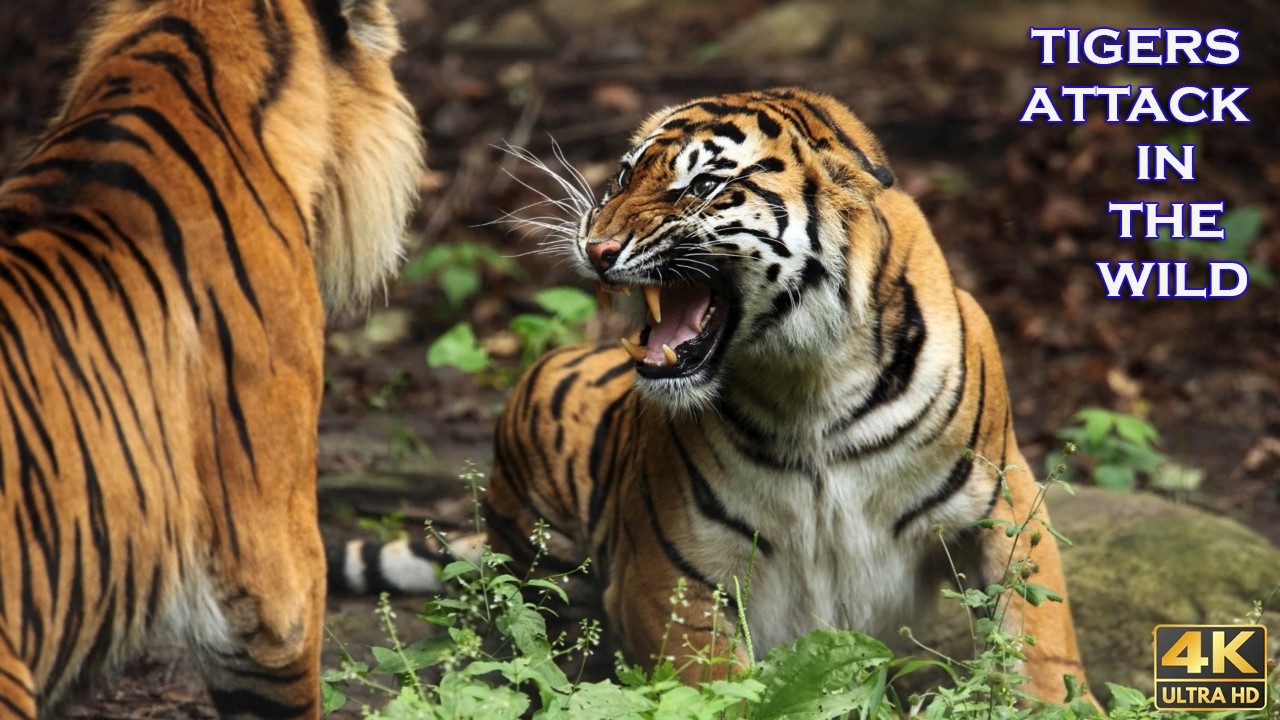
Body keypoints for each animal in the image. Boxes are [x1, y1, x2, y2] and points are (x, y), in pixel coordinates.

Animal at [481, 88, 1090, 703]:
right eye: (624, 177)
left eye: (703, 186)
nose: (596, 248)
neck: (811, 378)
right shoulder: (666, 573)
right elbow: (718, 693)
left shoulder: (1005, 502)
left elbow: (1040, 643)